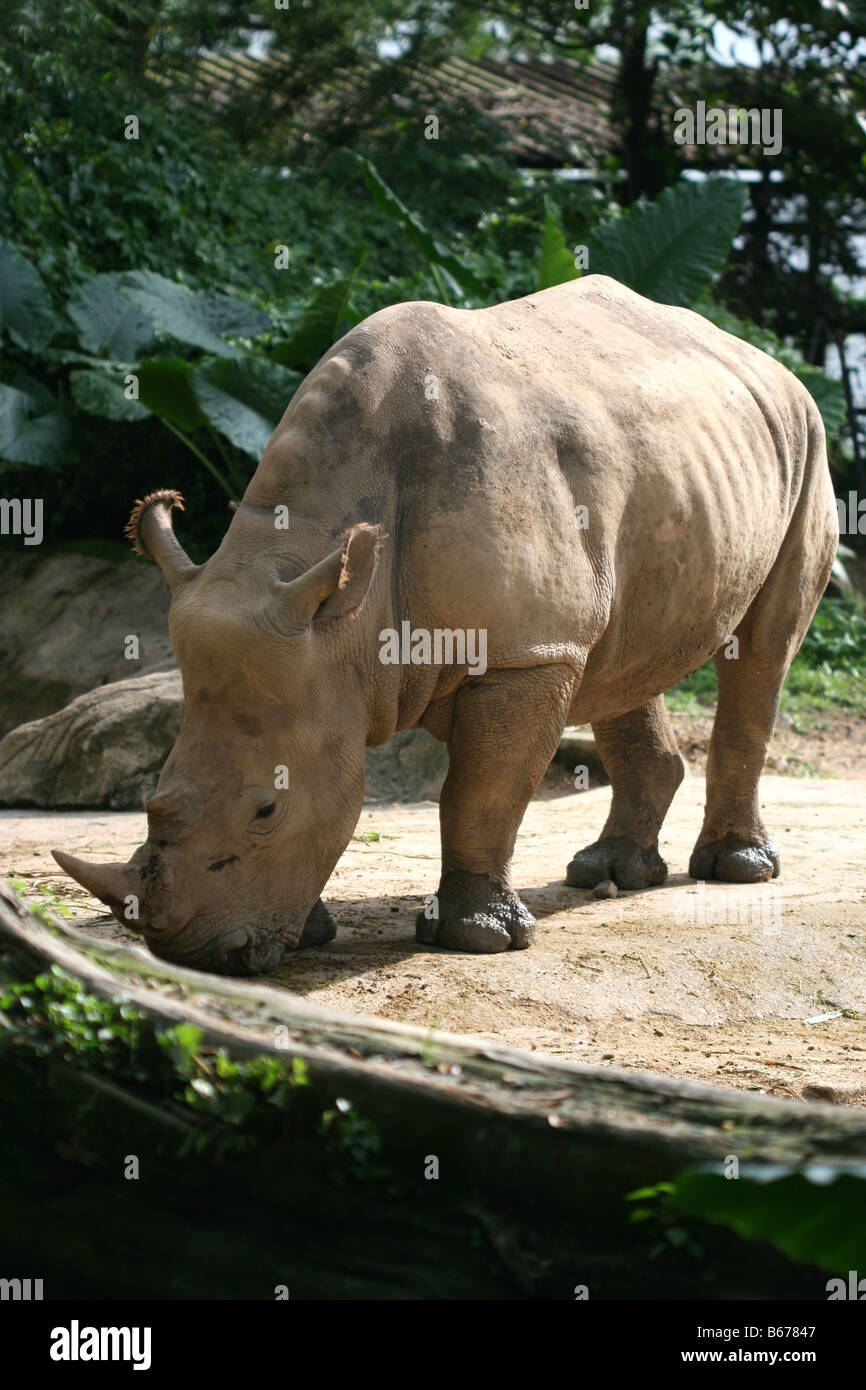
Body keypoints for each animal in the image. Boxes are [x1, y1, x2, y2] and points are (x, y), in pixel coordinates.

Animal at [53, 276, 836, 975]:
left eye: (267, 811)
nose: (198, 955)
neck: (347, 623)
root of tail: (761, 358)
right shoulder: (331, 655)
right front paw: (312, 933)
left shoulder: (521, 654)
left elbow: (478, 795)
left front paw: (478, 940)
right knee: (620, 655)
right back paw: (603, 875)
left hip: (808, 438)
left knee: (760, 652)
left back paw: (734, 870)